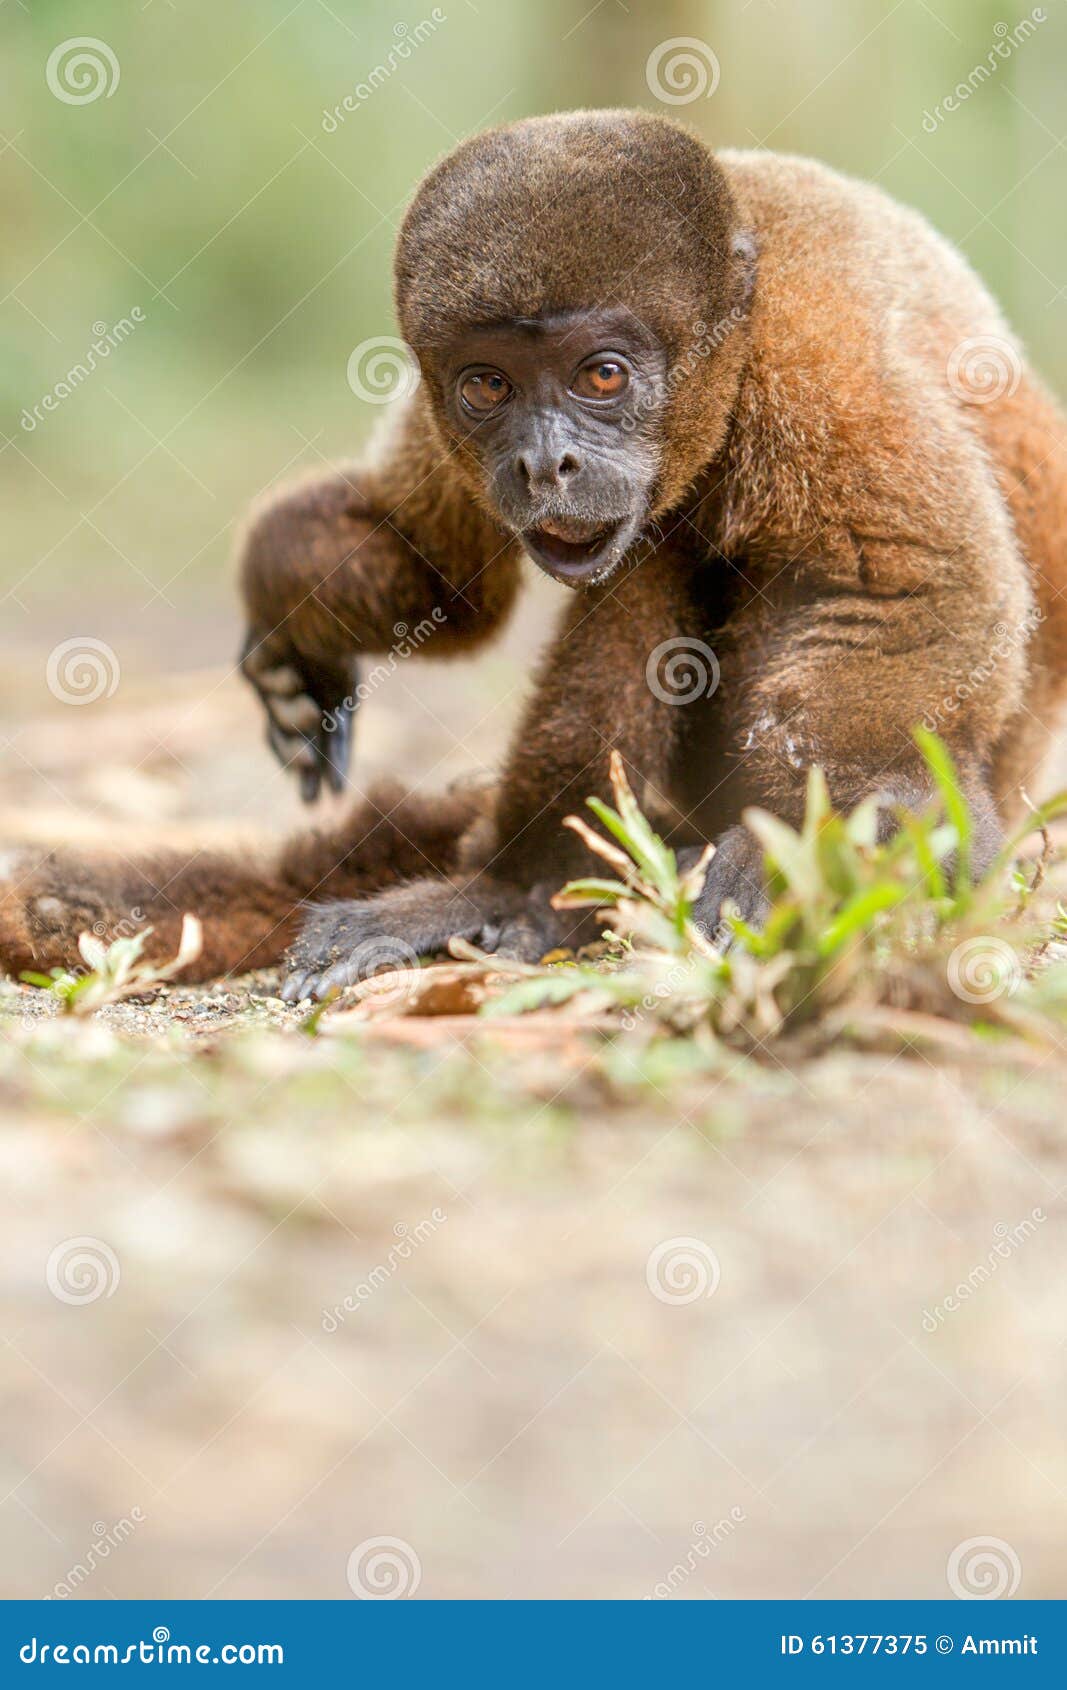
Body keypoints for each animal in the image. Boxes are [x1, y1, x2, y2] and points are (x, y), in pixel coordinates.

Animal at [3, 109, 1067, 1000]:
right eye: (488, 386)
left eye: (602, 375)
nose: (542, 462)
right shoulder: (441, 411)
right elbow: (437, 574)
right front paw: (293, 639)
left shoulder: (816, 365)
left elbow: (915, 588)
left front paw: (810, 841)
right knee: (645, 567)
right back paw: (515, 888)